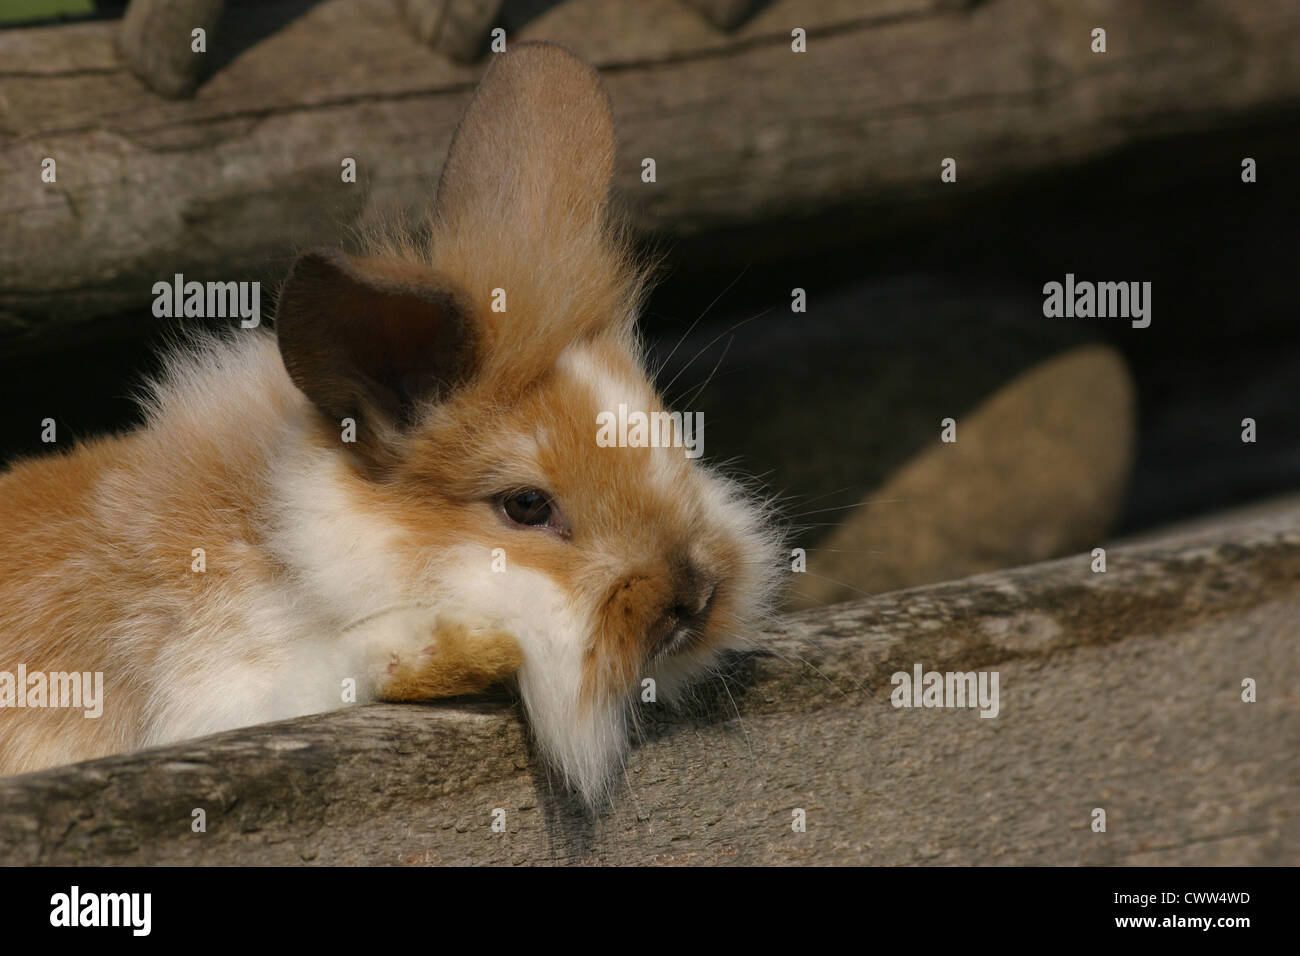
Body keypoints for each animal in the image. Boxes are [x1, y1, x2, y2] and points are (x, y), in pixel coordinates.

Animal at [0, 42, 783, 807]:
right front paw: (456, 650)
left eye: (672, 436)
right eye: (526, 506)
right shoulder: (221, 688)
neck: (282, 543)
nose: (694, 601)